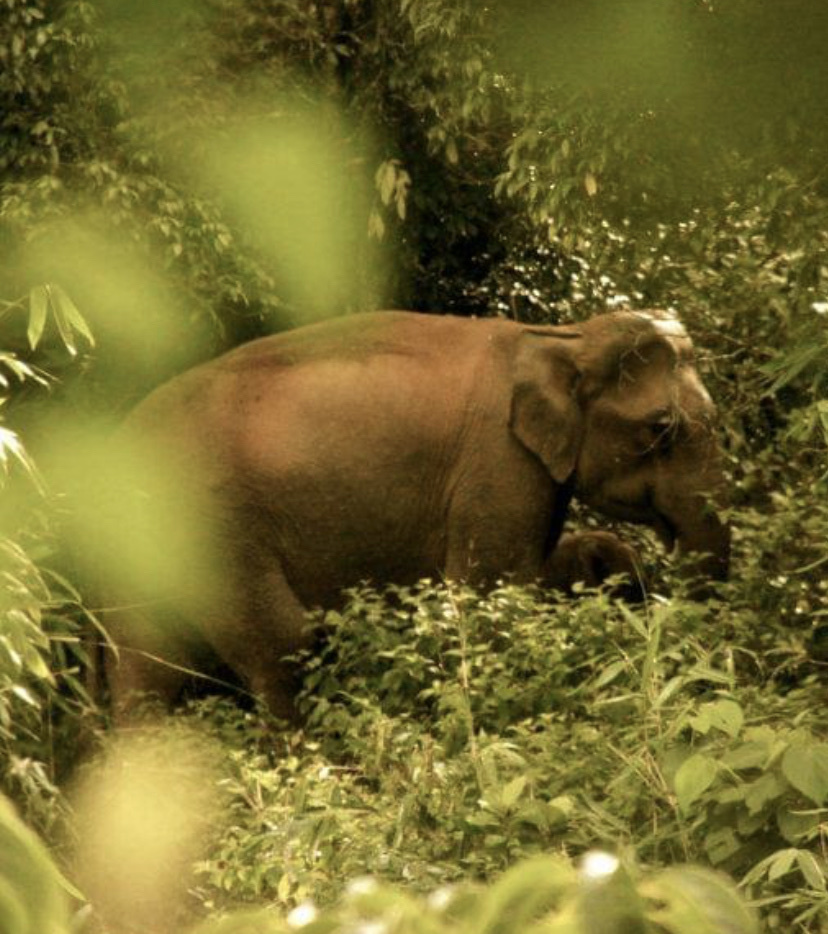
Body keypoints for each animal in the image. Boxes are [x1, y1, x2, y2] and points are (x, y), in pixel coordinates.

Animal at [101, 309, 730, 721]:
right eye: (660, 429)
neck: (563, 337)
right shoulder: (497, 460)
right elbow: (489, 593)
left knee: (148, 670)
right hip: (212, 523)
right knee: (279, 644)